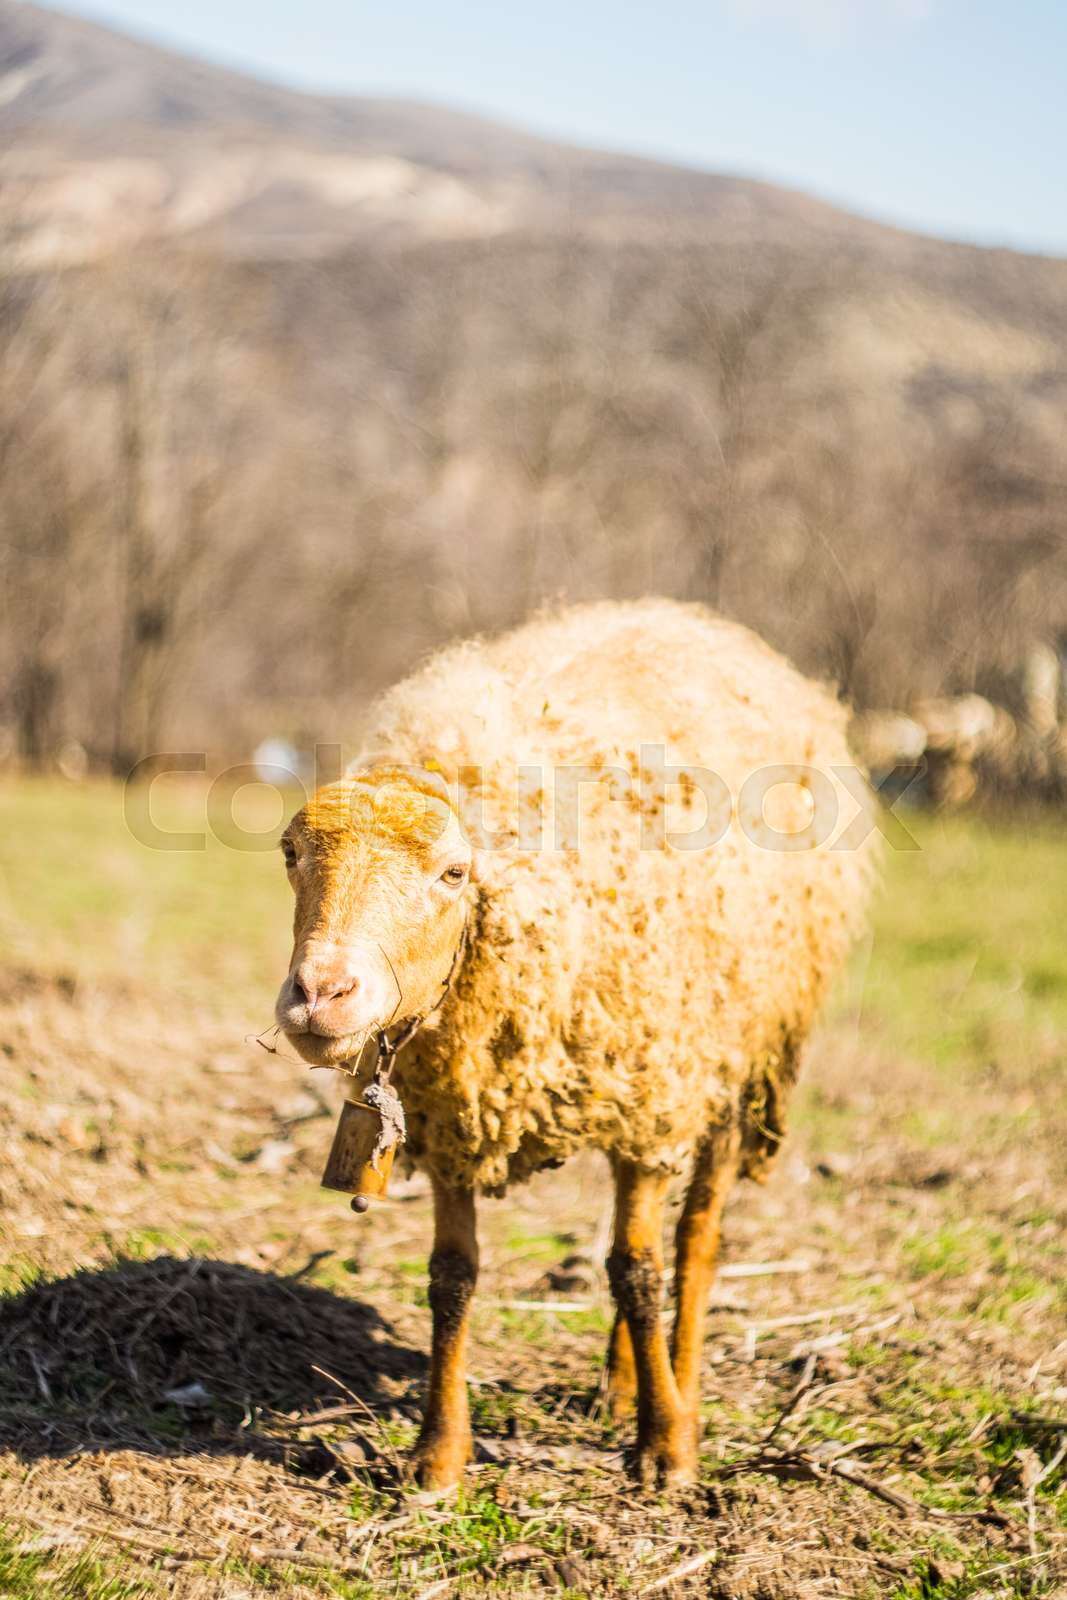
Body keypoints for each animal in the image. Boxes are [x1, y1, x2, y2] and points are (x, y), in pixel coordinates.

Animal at [274, 599, 879, 1490]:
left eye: (453, 874)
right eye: (290, 856)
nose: (319, 995)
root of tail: (690, 620)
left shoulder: (653, 1097)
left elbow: (639, 1270)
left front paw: (666, 1448)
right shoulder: (451, 1116)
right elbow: (452, 1279)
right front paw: (437, 1455)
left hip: (729, 1061)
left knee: (692, 1242)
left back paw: (680, 1389)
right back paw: (619, 1386)